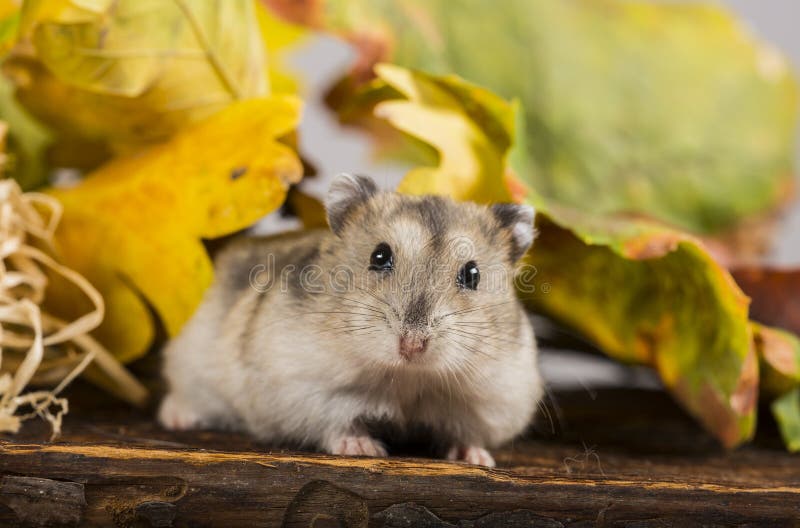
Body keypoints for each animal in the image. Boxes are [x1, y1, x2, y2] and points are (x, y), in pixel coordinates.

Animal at [158, 173, 542, 467]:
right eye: (380, 256)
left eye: (472, 274)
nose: (412, 345)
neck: (407, 376)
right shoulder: (305, 388)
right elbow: (340, 424)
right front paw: (365, 448)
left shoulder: (493, 398)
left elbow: (467, 434)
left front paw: (477, 458)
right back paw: (176, 418)